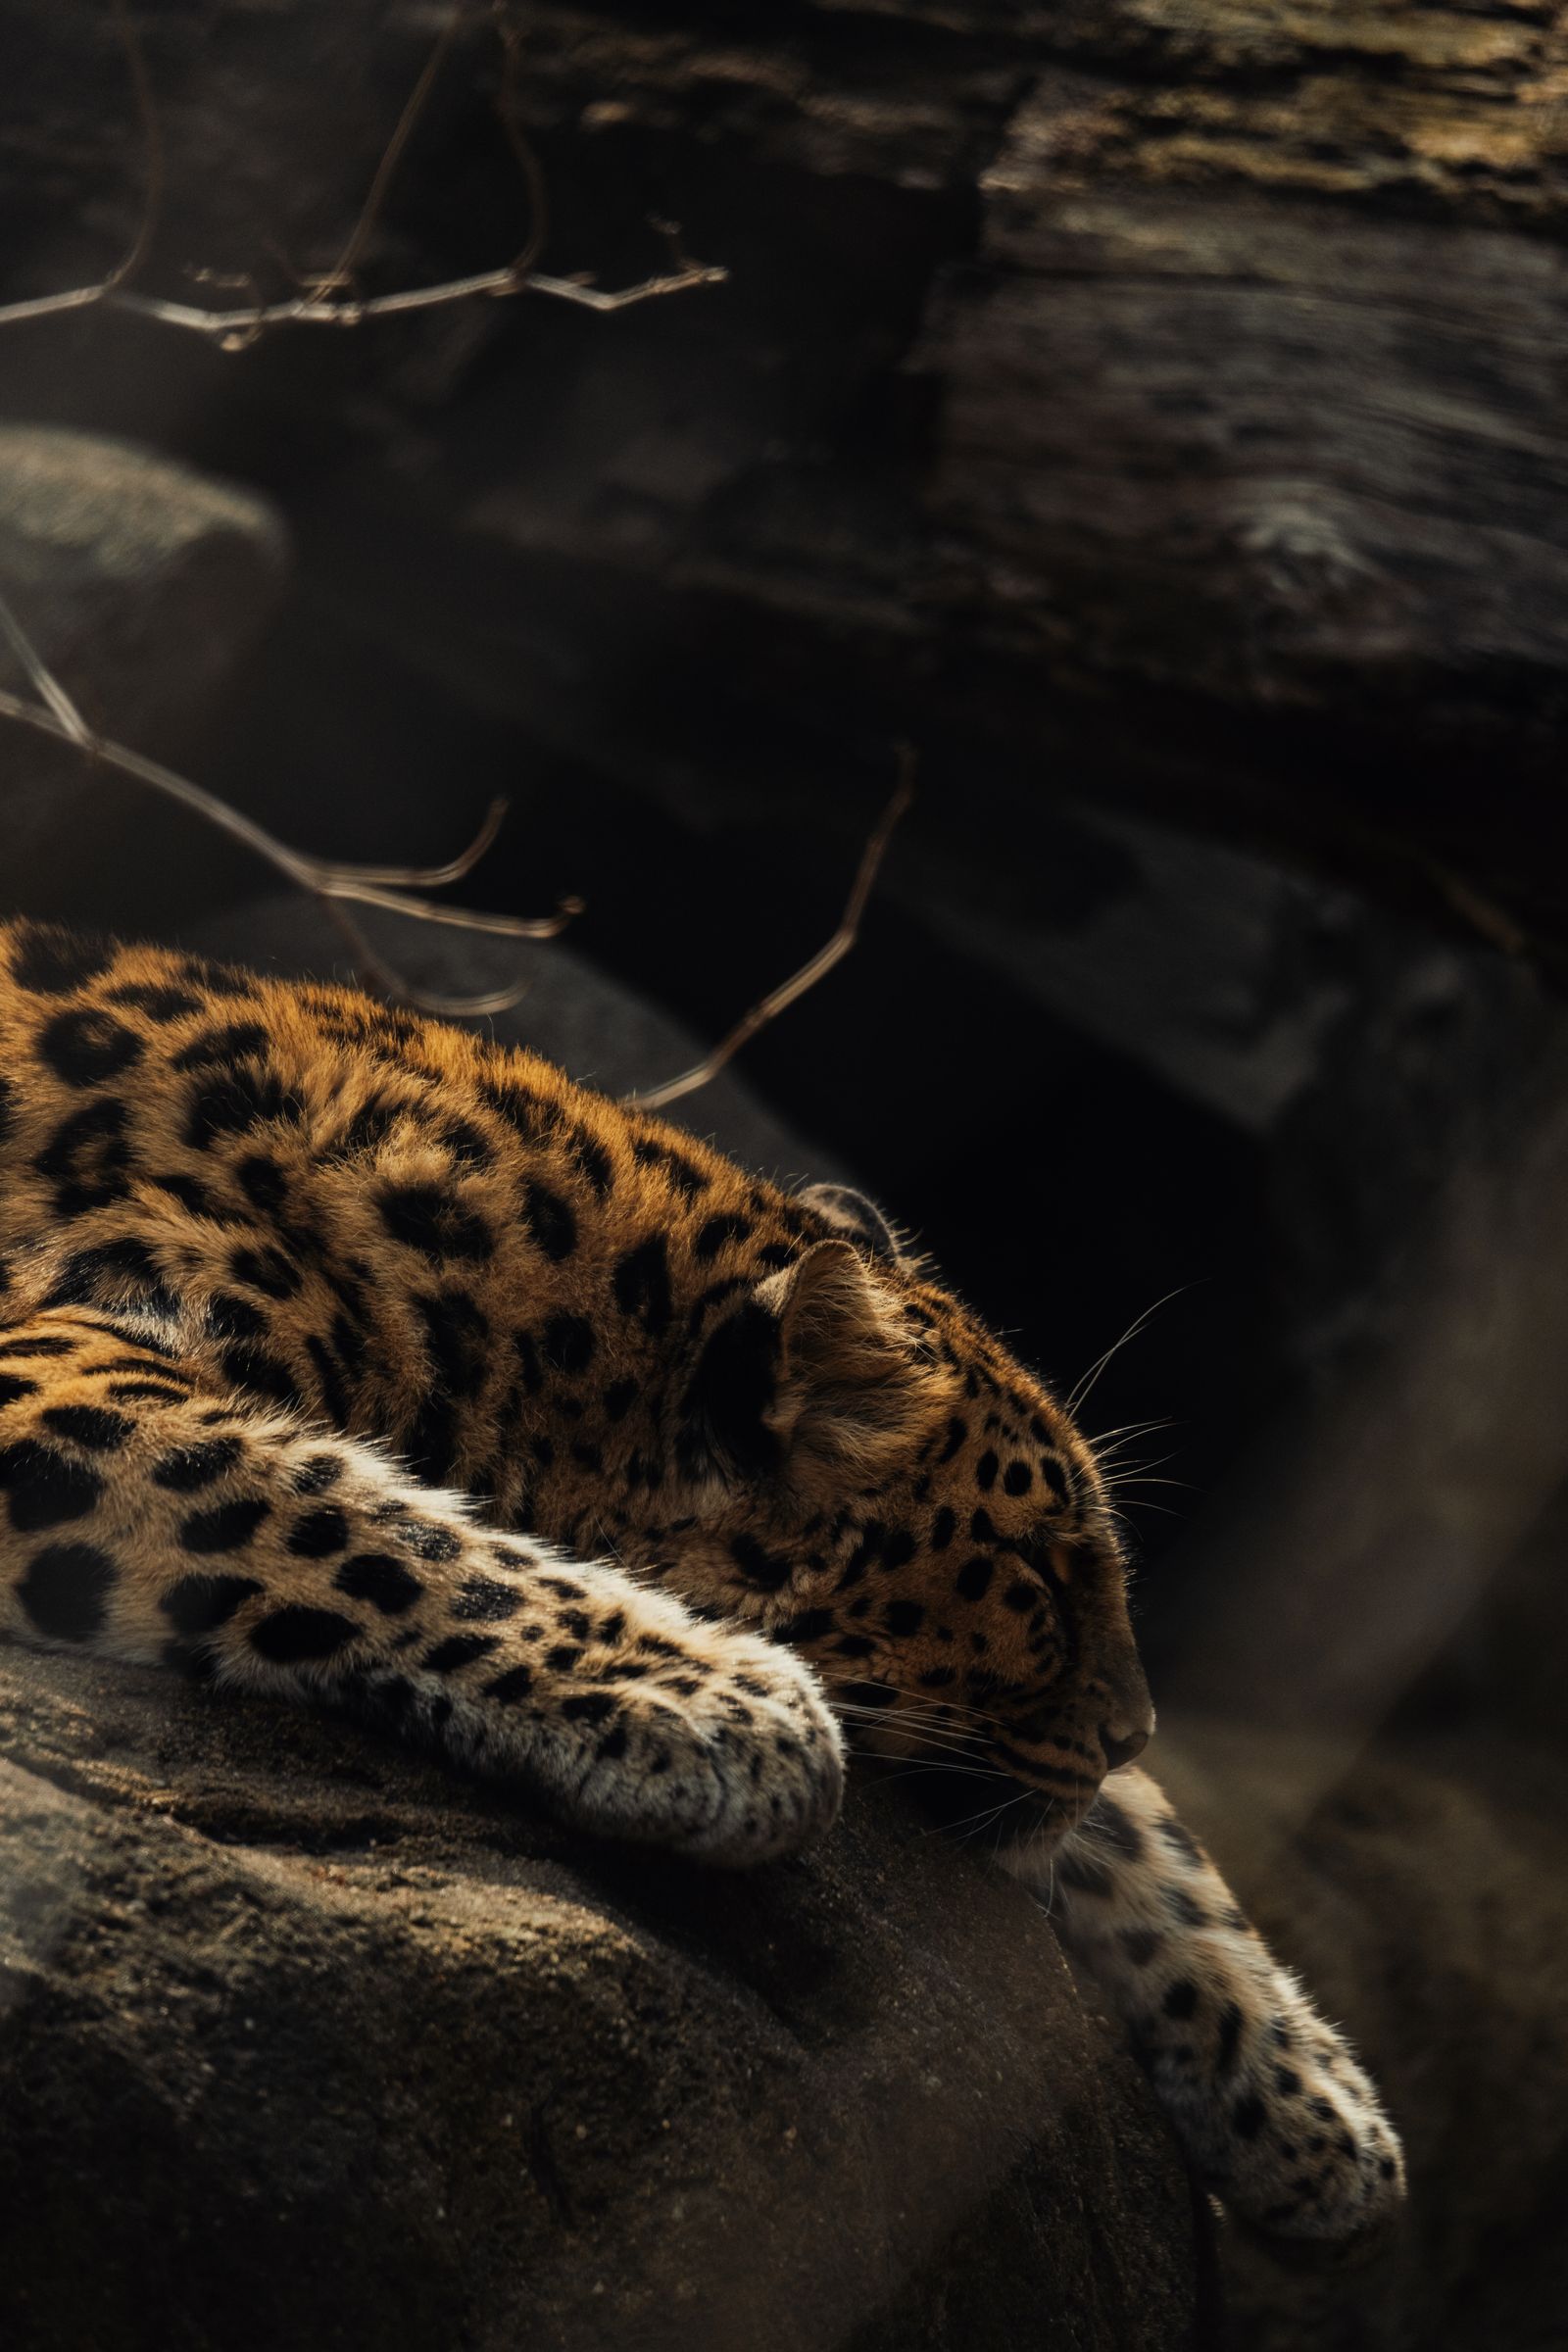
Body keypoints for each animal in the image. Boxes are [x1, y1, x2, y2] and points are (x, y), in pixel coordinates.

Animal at [0, 916, 1404, 2246]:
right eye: (1034, 1574)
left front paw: (1313, 2106)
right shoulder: (53, 1367)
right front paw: (719, 1707)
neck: (529, 1323)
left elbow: (1126, 1824)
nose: (1137, 1727)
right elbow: (331, 1501)